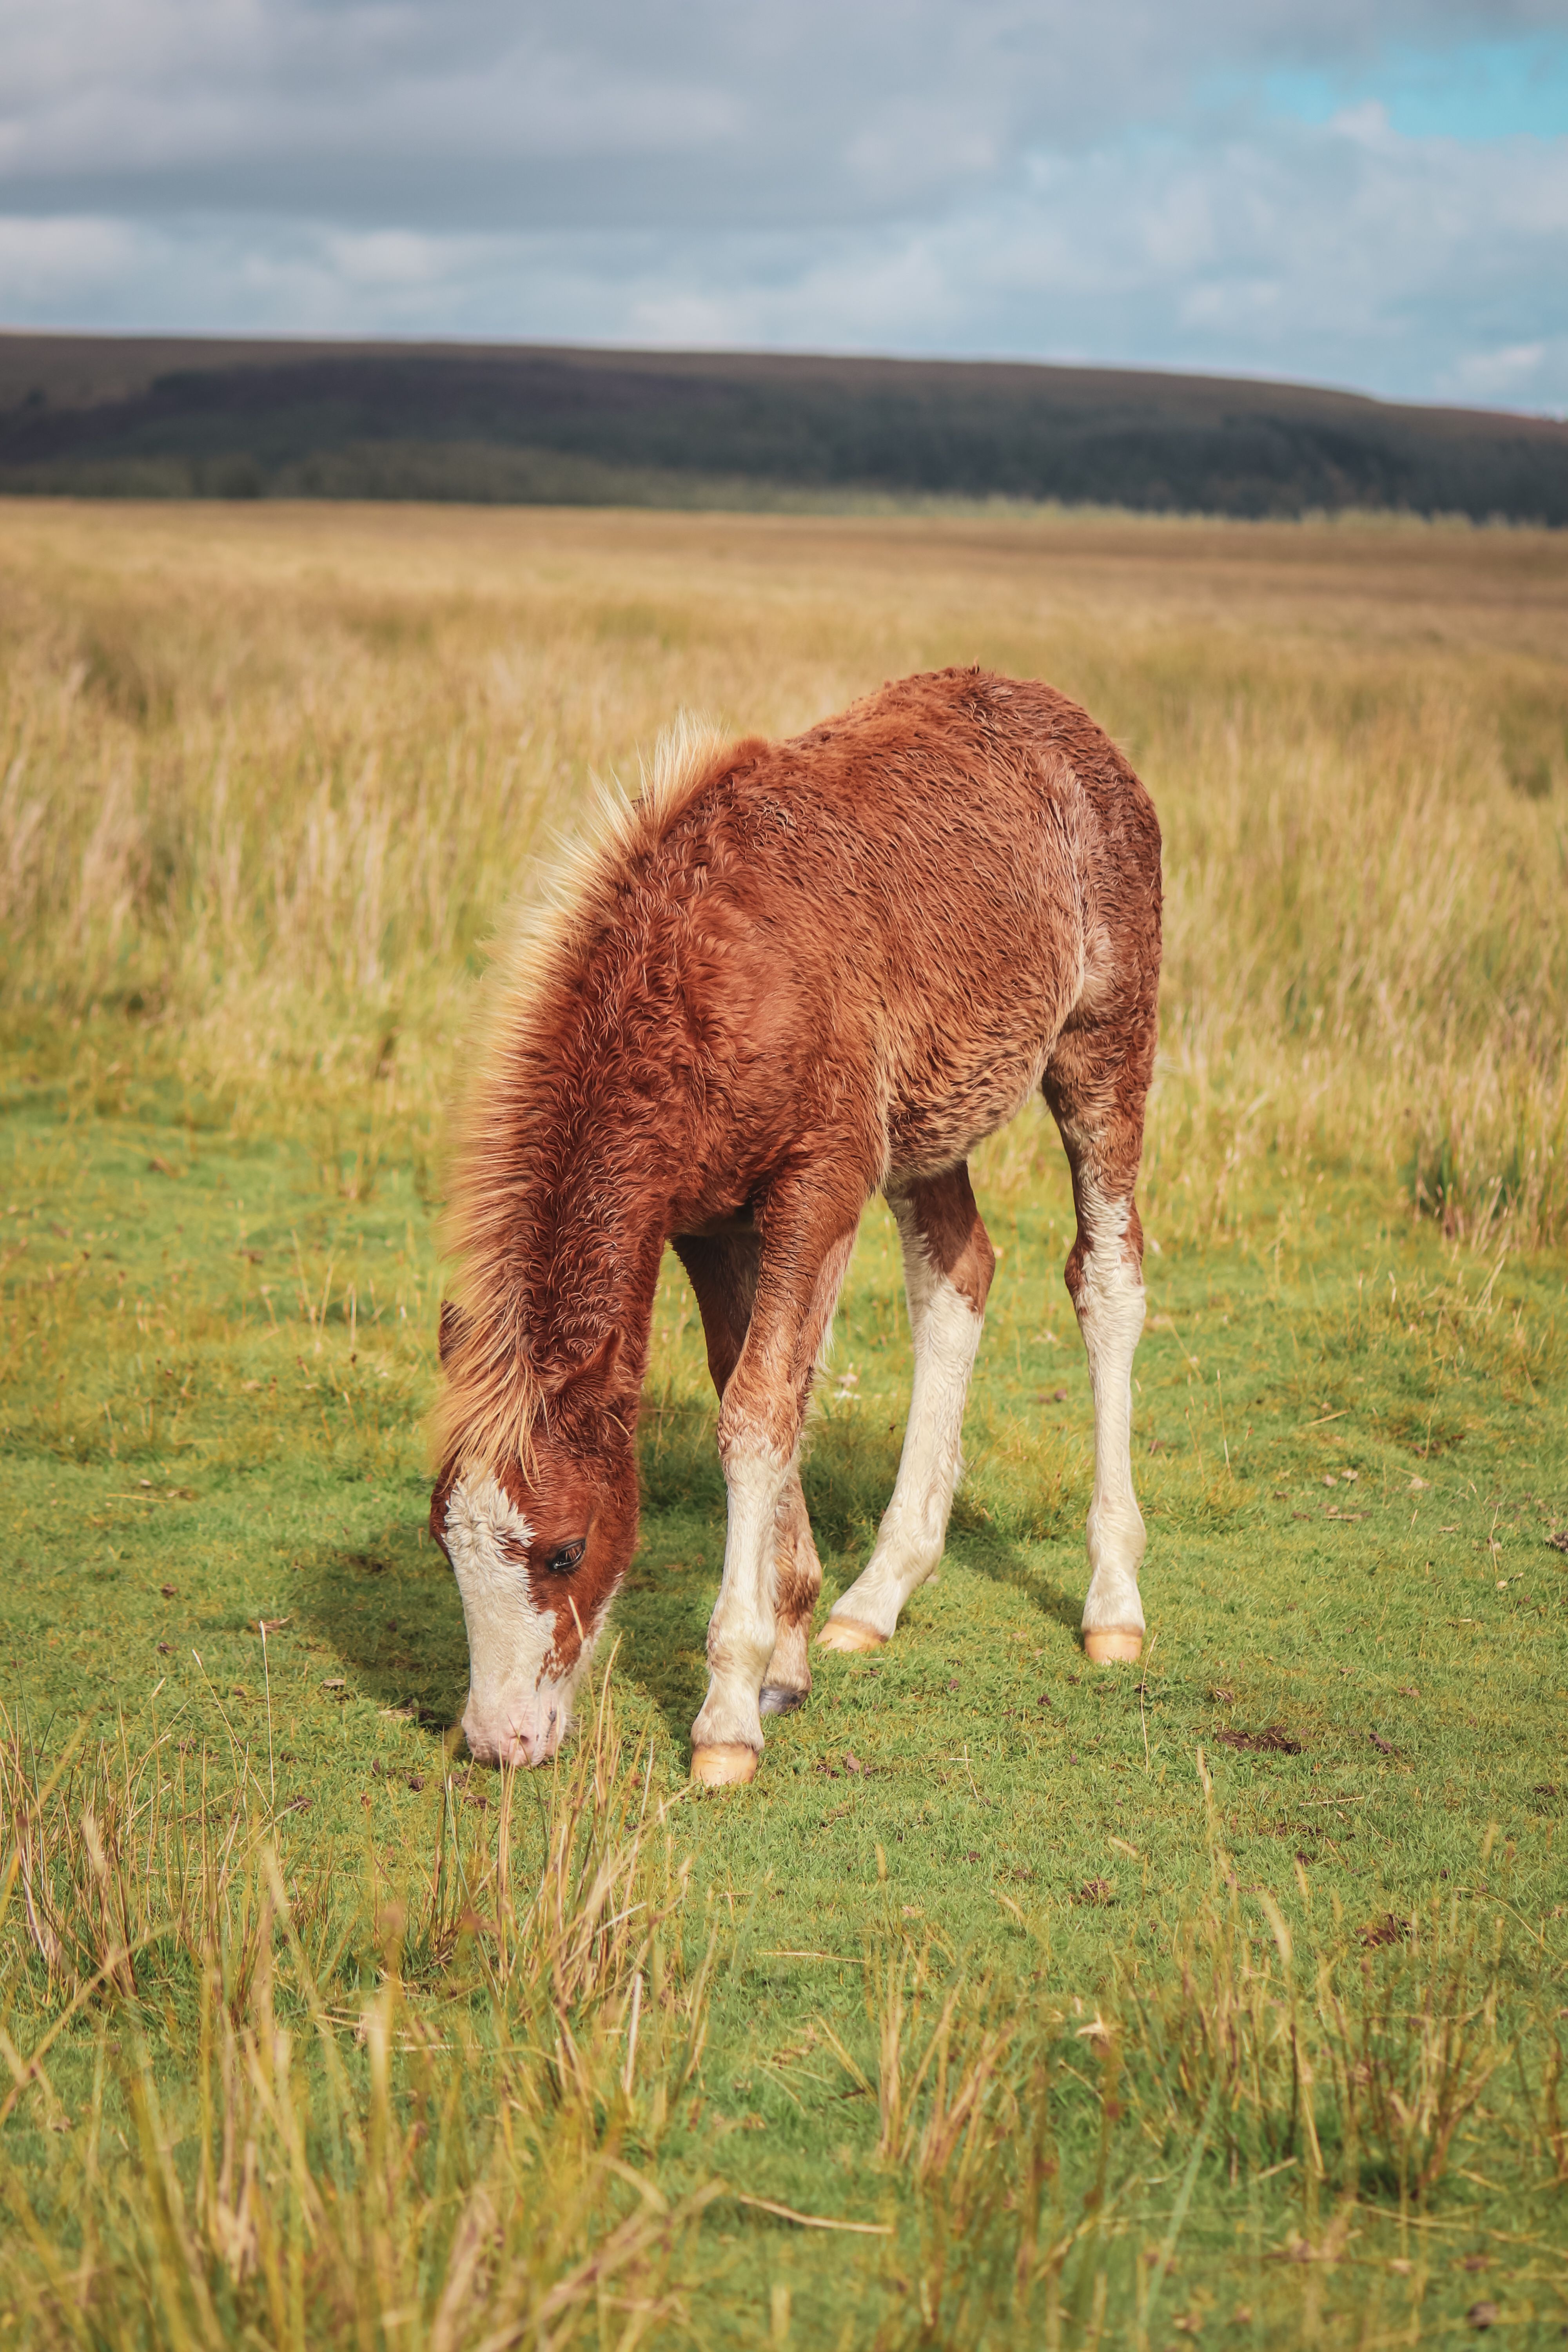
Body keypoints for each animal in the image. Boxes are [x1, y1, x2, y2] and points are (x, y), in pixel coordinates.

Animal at [430, 665, 1161, 1787]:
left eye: (563, 1551)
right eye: (444, 1542)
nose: (499, 1742)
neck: (706, 985)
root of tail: (1070, 723)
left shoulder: (819, 1186)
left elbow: (757, 1416)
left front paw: (728, 1713)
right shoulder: (704, 1222)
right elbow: (753, 1390)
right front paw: (788, 1650)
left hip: (1103, 1048)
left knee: (1106, 1282)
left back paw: (1111, 1605)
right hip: (929, 1122)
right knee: (957, 1275)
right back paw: (879, 1593)